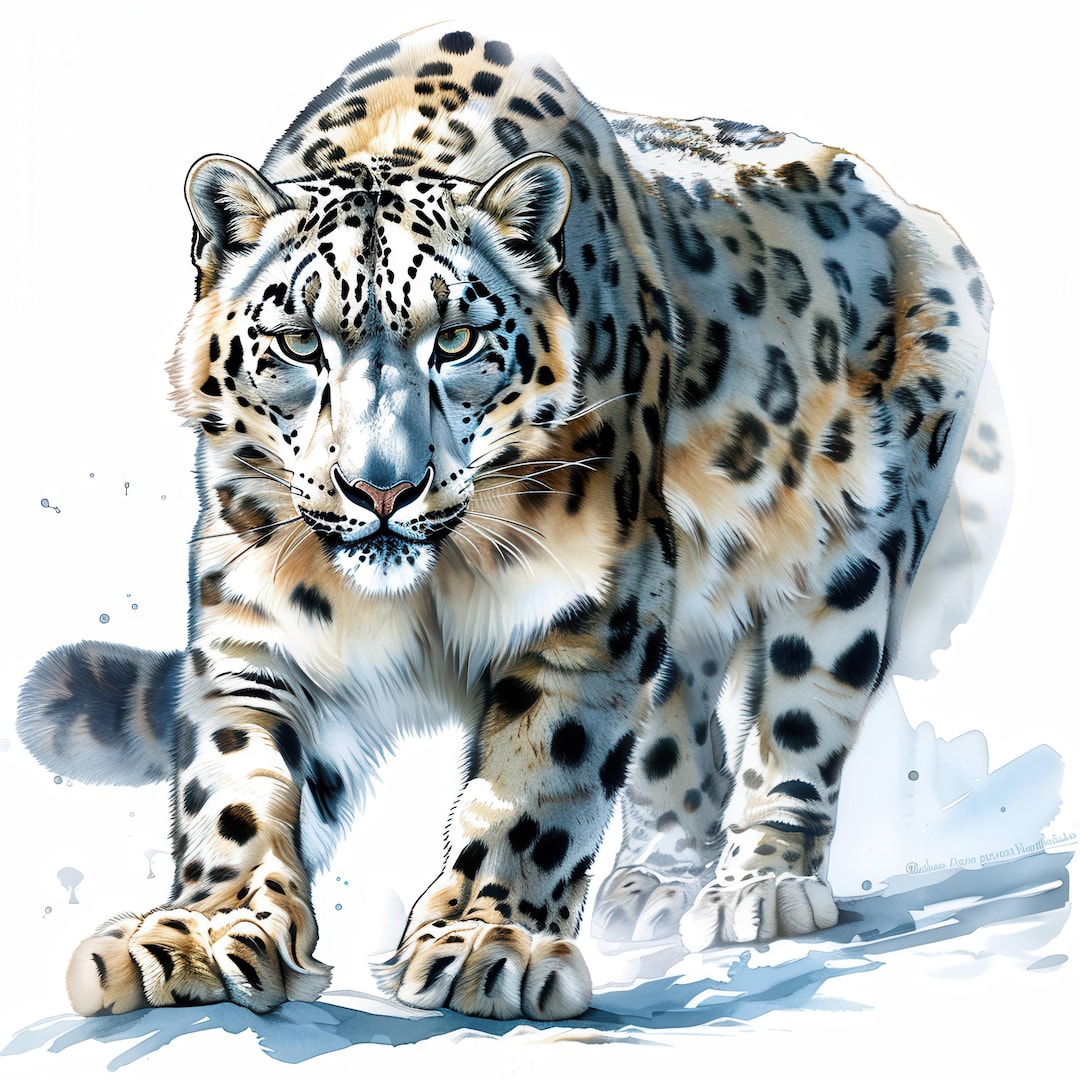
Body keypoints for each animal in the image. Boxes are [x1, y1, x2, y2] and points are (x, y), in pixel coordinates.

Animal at [17, 23, 992, 1022]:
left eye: (455, 340)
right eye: (297, 342)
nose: (381, 488)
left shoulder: (591, 608)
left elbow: (540, 781)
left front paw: (488, 943)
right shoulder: (262, 624)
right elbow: (236, 782)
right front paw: (205, 932)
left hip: (851, 556)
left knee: (802, 713)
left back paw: (761, 885)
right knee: (682, 730)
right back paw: (654, 884)